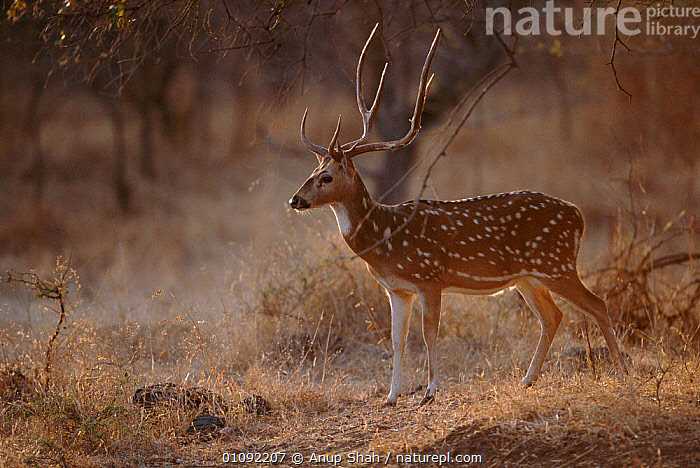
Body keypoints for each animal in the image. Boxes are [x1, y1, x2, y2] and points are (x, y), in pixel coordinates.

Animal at [289, 26, 627, 406]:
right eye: (312, 170)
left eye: (326, 177)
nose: (295, 200)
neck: (385, 237)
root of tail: (579, 216)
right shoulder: (397, 289)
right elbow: (397, 340)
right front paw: (391, 396)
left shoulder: (430, 276)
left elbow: (429, 333)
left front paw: (430, 391)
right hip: (528, 276)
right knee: (554, 316)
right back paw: (527, 380)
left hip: (556, 264)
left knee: (597, 304)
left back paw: (622, 371)